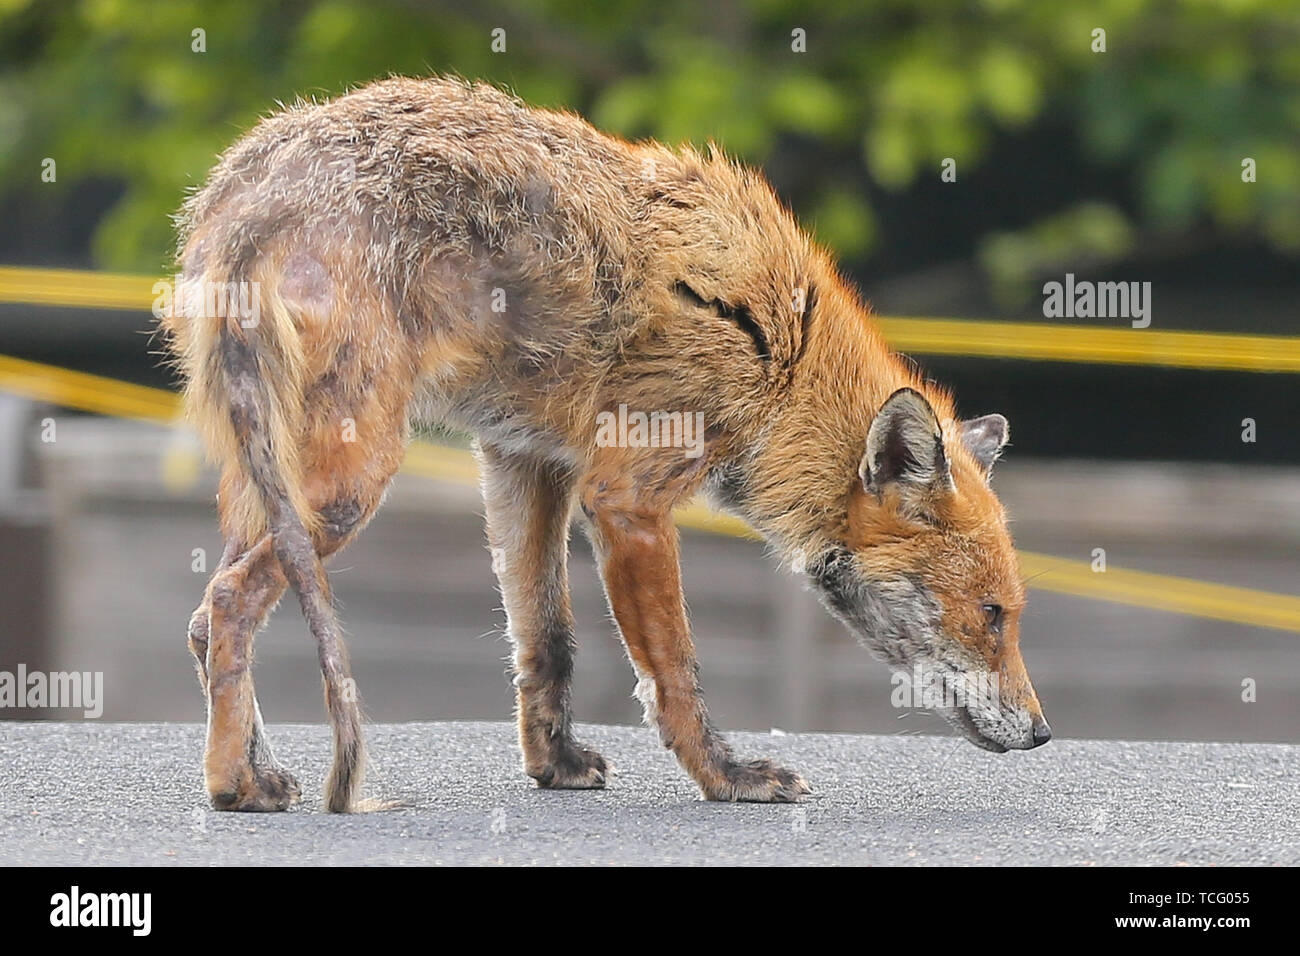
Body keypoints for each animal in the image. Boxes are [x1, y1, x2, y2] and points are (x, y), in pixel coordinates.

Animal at [160, 75, 1050, 813]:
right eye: (993, 615)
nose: (1043, 733)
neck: (782, 355)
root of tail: (252, 186)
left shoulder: (525, 462)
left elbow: (545, 640)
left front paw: (552, 765)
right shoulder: (629, 500)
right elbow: (676, 673)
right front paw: (729, 779)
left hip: (273, 475)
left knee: (205, 620)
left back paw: (256, 768)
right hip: (349, 481)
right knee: (228, 602)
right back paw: (232, 786)